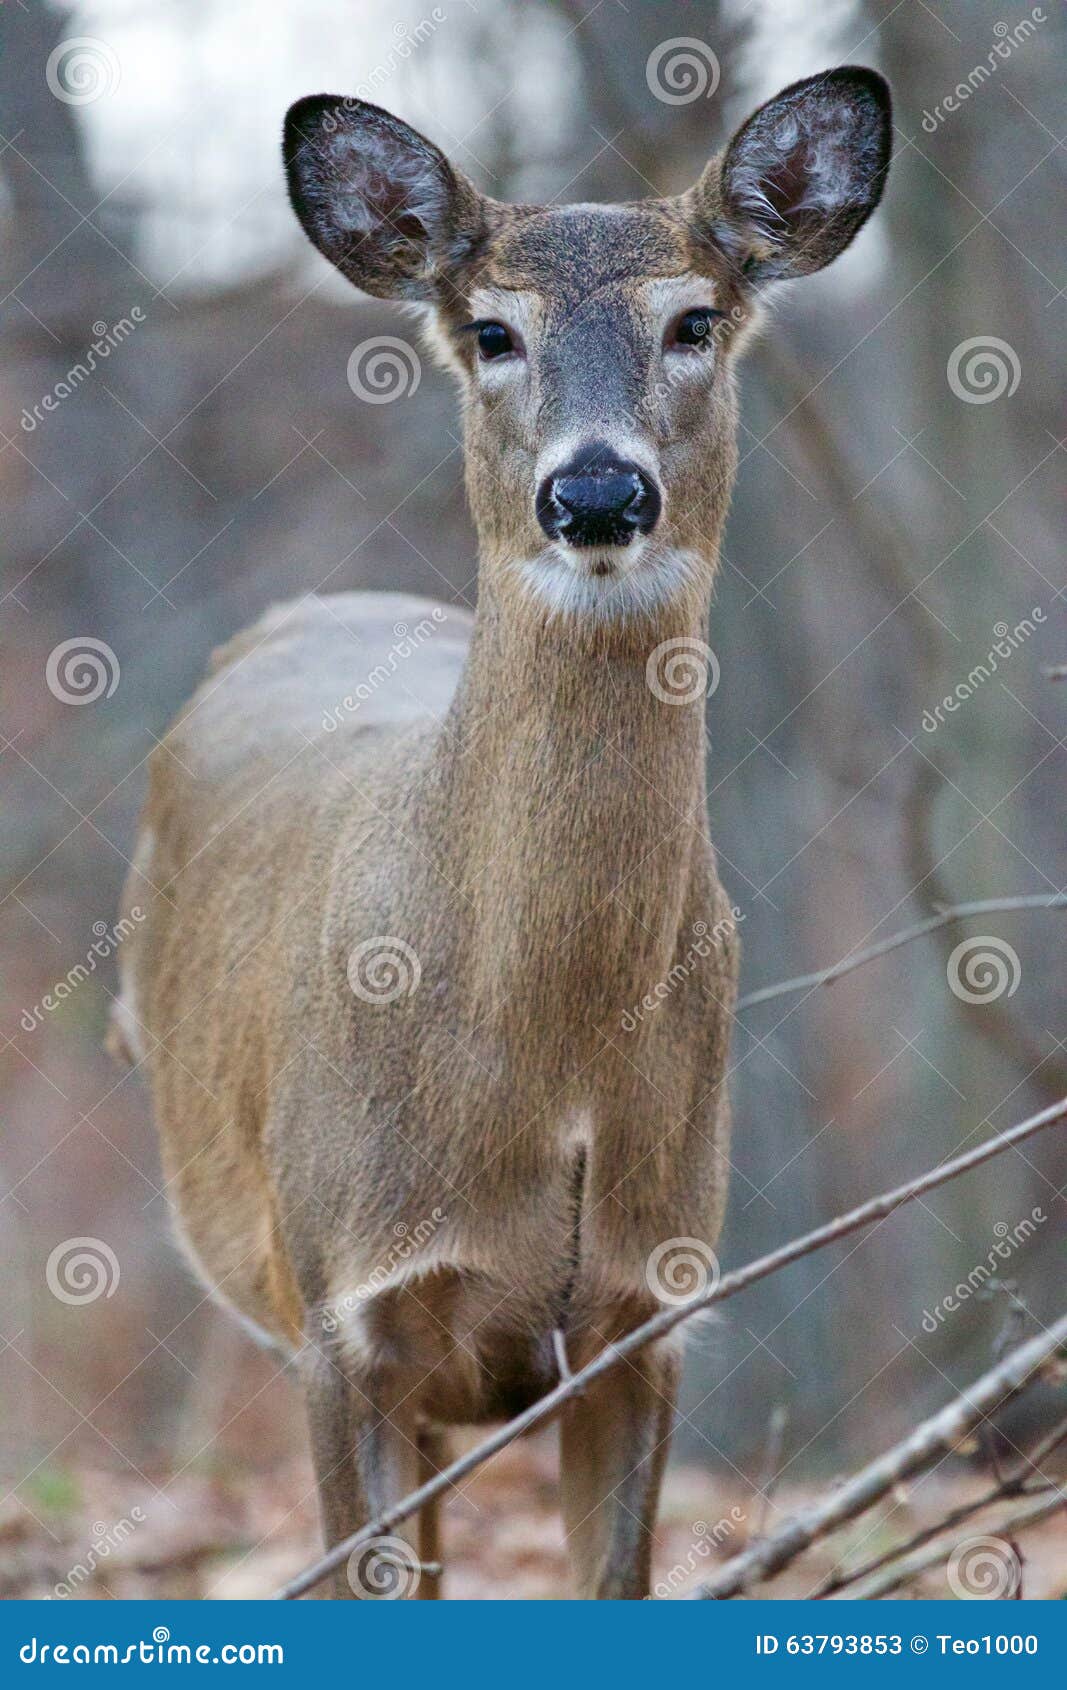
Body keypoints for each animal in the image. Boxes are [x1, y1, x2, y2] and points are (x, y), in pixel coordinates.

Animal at [112, 66, 891, 1599]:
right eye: (490, 332)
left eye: (692, 320)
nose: (594, 491)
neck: (549, 1048)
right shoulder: (341, 1310)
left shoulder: (644, 1310)